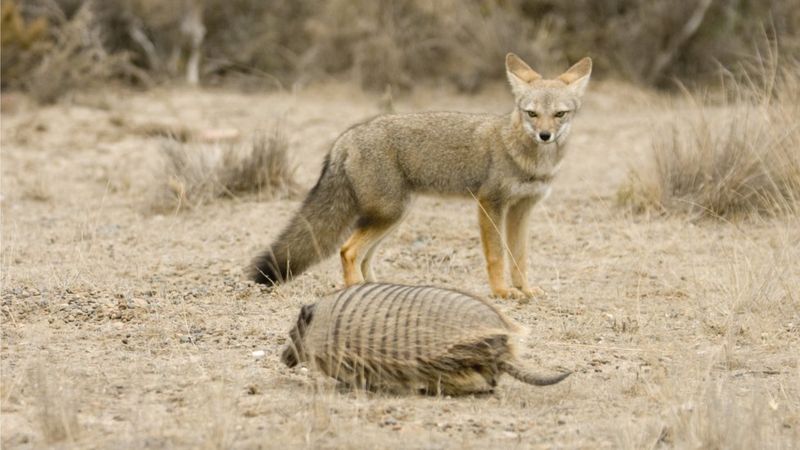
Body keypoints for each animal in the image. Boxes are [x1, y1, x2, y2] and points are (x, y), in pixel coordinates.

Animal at [250, 53, 592, 299]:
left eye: (560, 114)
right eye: (531, 113)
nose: (545, 135)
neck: (532, 159)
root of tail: (345, 138)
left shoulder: (523, 209)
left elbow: (520, 257)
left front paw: (525, 289)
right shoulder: (489, 203)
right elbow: (496, 256)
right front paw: (502, 292)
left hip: (393, 216)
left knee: (364, 256)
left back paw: (376, 290)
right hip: (389, 214)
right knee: (348, 251)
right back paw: (357, 290)